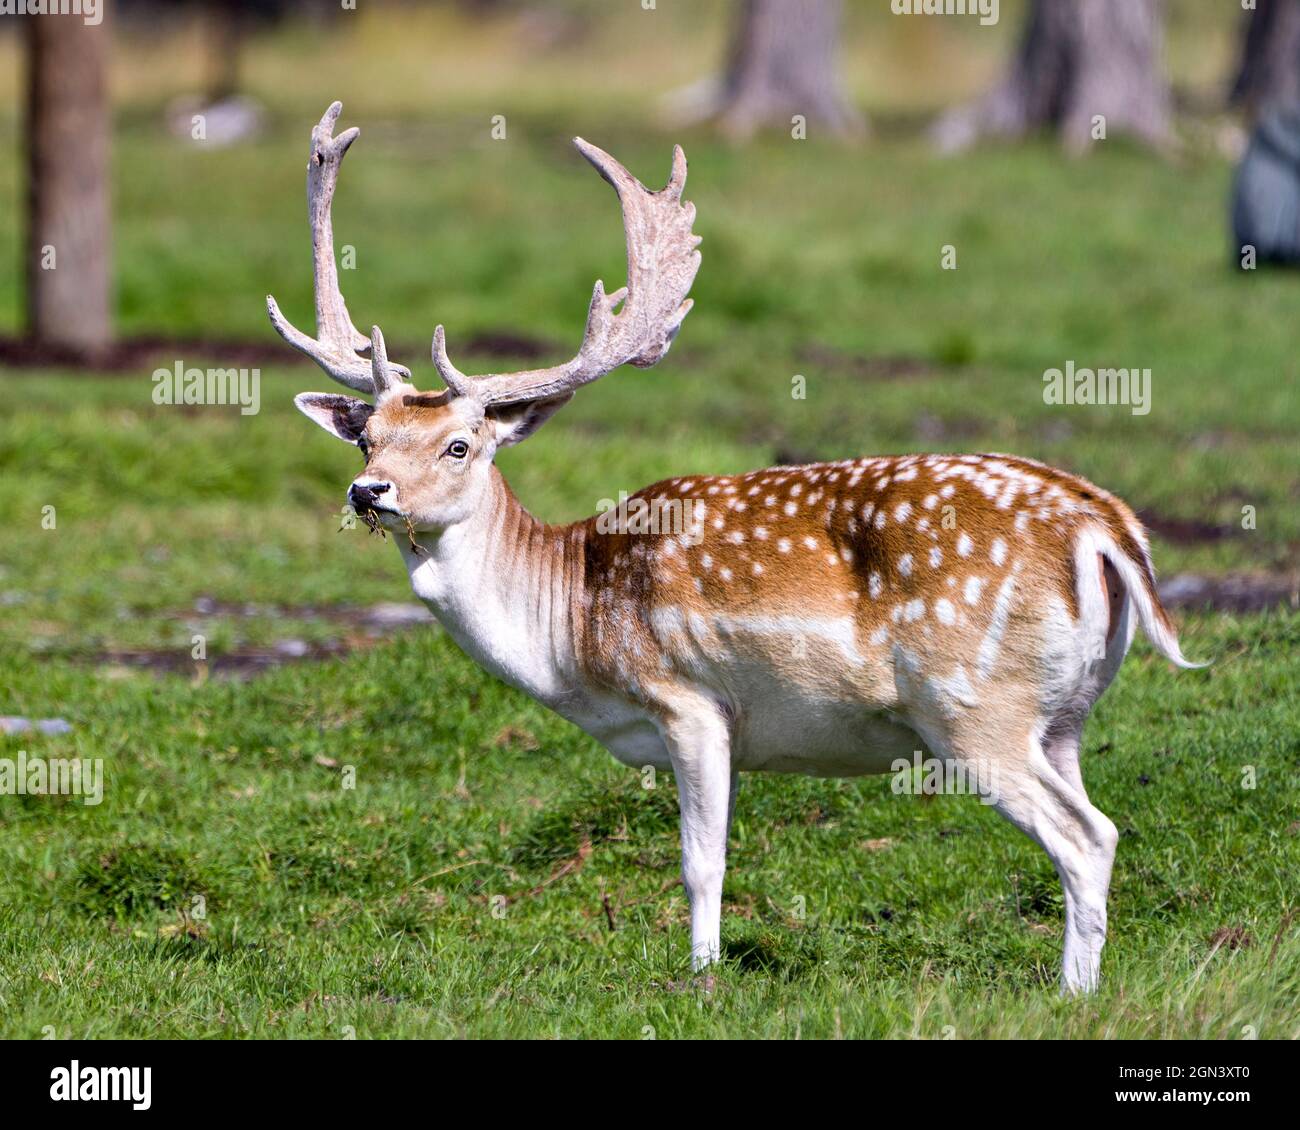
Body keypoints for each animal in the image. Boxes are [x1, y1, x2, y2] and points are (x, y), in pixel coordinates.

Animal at [270, 103, 1200, 996]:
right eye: (368, 439)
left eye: (460, 445)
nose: (368, 492)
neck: (572, 629)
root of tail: (1106, 529)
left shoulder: (689, 698)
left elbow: (701, 861)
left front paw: (702, 973)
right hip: (1065, 713)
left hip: (974, 705)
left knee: (1089, 835)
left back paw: (1072, 994)